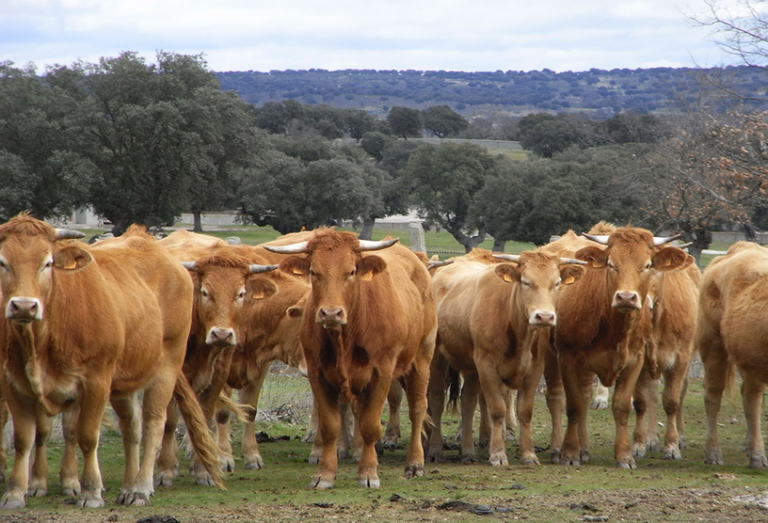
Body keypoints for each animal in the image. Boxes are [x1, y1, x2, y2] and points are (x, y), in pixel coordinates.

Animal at [0, 214, 221, 508]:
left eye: (47, 263)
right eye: (3, 262)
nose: (24, 306)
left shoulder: (96, 381)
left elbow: (87, 435)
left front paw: (90, 490)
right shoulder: (12, 383)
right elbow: (24, 438)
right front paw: (14, 493)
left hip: (167, 368)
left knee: (154, 423)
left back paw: (141, 487)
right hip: (125, 382)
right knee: (131, 428)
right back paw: (128, 486)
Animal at [264, 229, 436, 489]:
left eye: (351, 271)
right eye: (314, 271)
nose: (331, 313)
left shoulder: (382, 373)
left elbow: (370, 425)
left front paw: (368, 473)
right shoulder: (317, 373)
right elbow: (330, 426)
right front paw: (324, 474)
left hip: (421, 358)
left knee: (417, 408)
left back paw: (415, 463)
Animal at [426, 248, 586, 466]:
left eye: (557, 283)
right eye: (526, 282)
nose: (544, 316)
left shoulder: (534, 368)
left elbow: (525, 411)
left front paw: (529, 454)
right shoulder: (487, 366)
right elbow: (496, 409)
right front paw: (498, 454)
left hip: (471, 366)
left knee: (468, 402)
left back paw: (467, 452)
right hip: (438, 358)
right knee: (436, 400)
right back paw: (435, 449)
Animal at [550, 226, 689, 468]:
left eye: (647, 265)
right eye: (611, 264)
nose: (626, 297)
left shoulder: (636, 360)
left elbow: (623, 406)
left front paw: (625, 455)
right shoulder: (567, 358)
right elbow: (574, 405)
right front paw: (569, 453)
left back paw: (585, 449)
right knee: (573, 399)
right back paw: (572, 448)